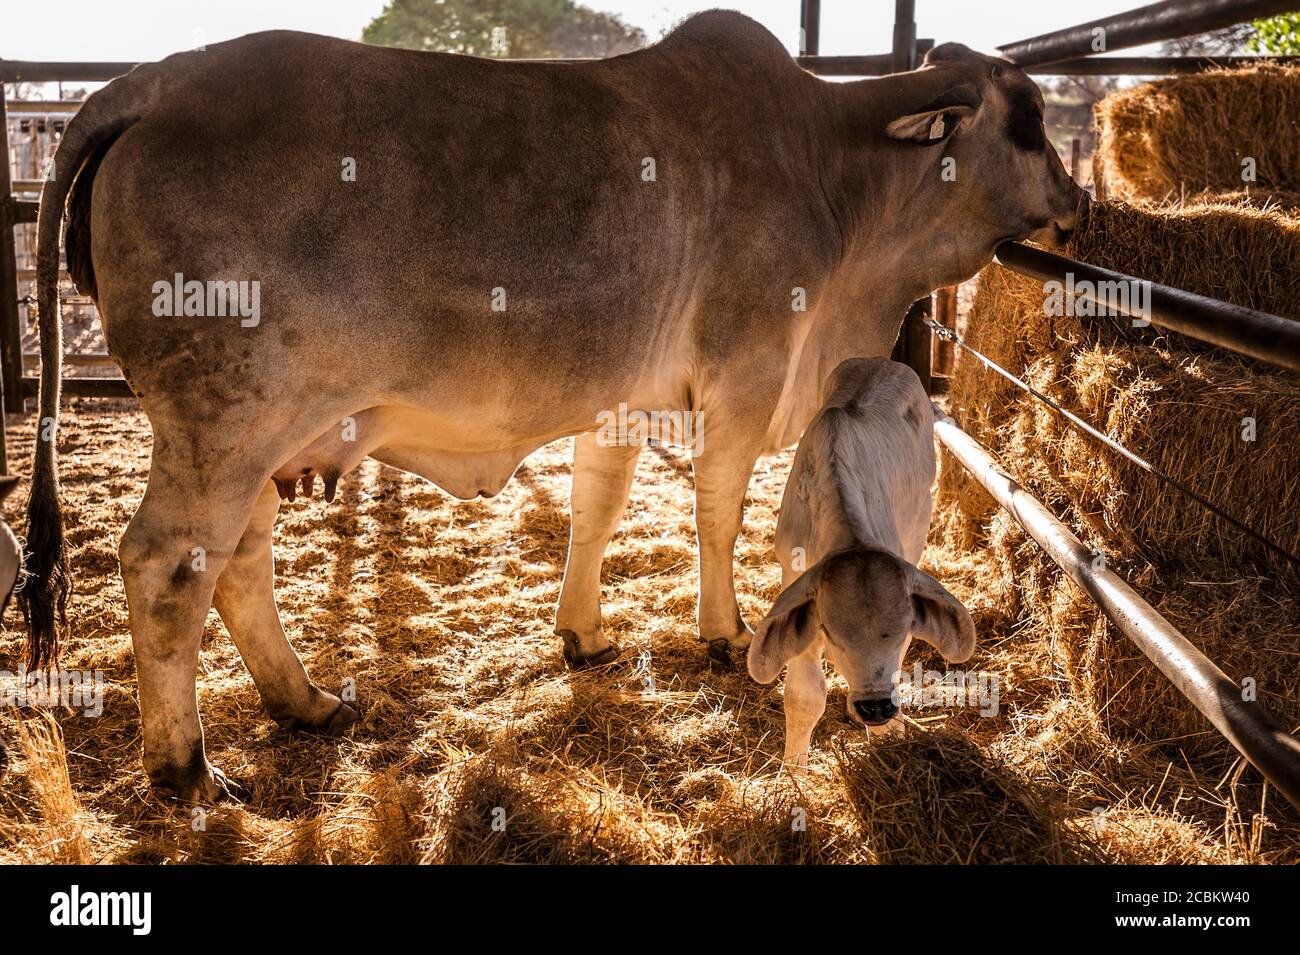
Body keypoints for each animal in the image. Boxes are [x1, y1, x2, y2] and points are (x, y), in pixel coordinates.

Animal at [748, 357, 973, 769]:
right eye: (828, 629)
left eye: (906, 628)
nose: (875, 706)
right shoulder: (795, 575)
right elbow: (804, 695)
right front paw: (793, 774)